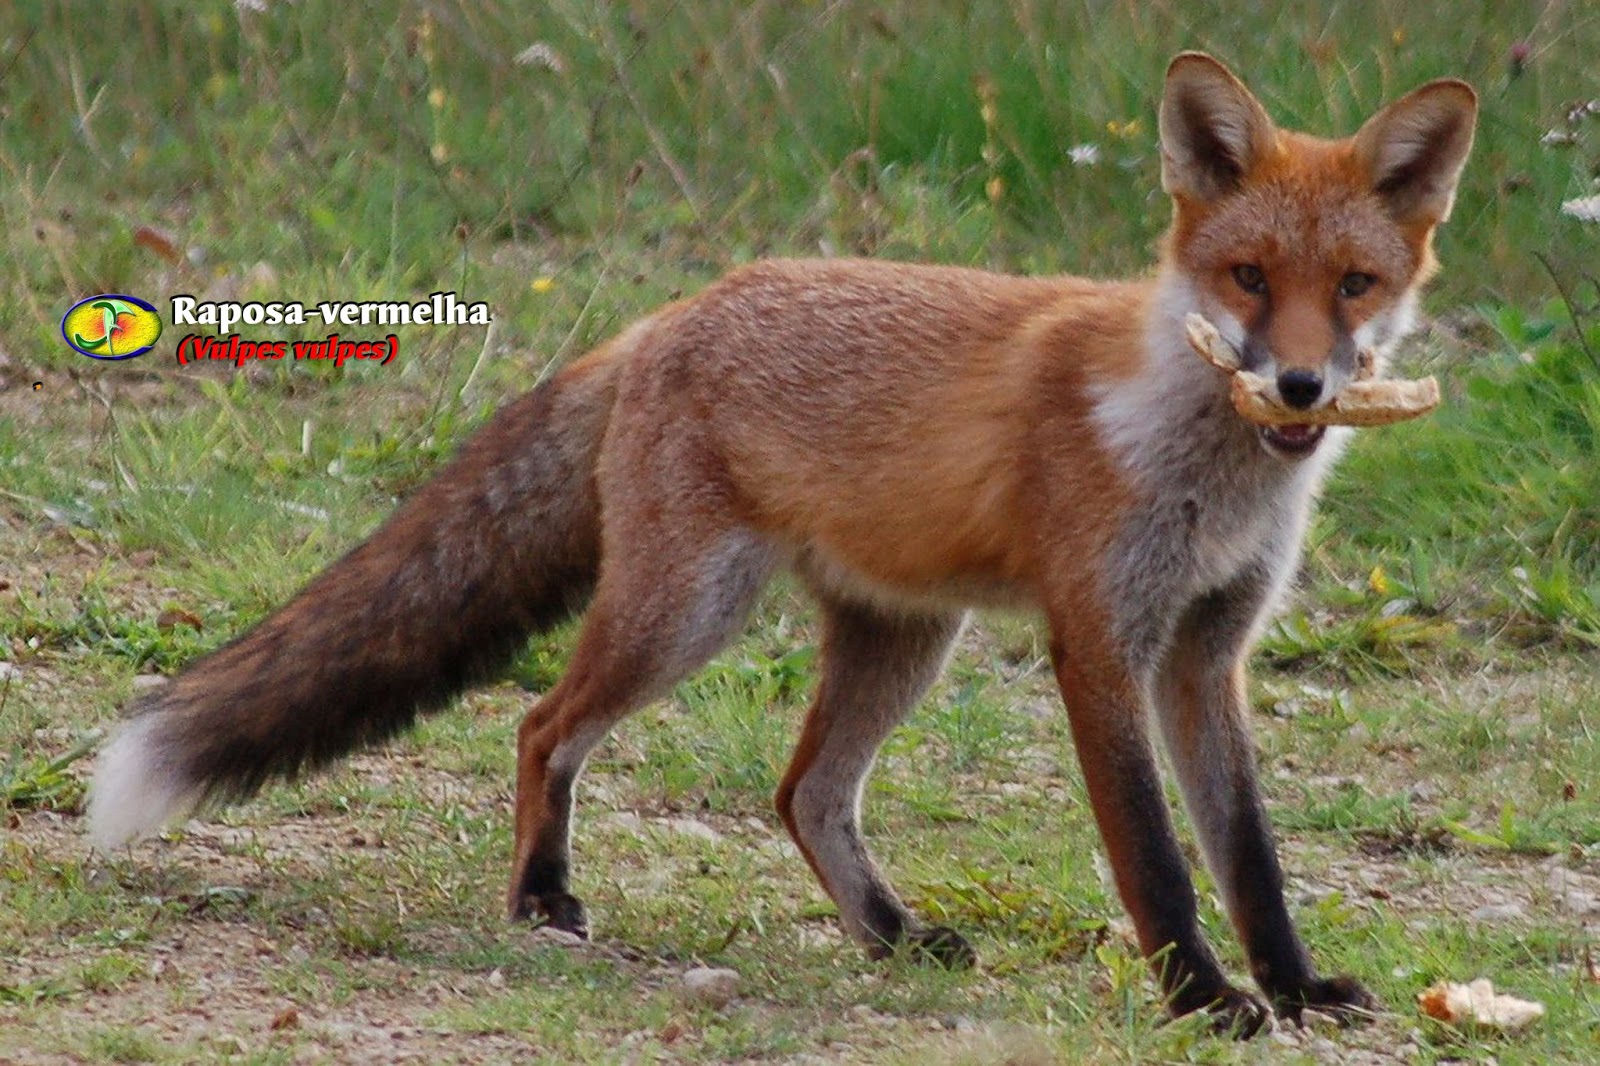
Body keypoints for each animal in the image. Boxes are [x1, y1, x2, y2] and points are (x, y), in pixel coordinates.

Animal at [88, 53, 1476, 1033]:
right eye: (1247, 277)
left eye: (1350, 287)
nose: (1298, 385)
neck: (1201, 465)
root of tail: (674, 311)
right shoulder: (1100, 645)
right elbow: (1156, 860)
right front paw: (1203, 1001)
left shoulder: (1204, 653)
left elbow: (1249, 855)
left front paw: (1291, 987)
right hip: (686, 614)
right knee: (542, 725)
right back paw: (541, 897)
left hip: (904, 637)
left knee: (802, 792)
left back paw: (889, 933)